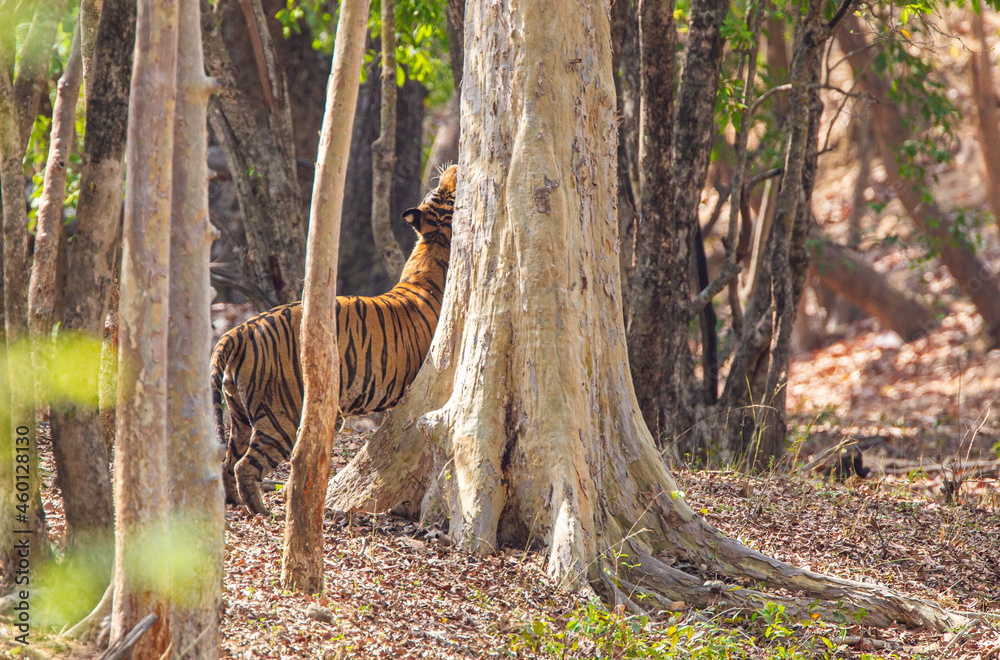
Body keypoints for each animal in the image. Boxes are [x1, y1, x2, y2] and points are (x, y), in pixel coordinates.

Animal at [211, 165, 456, 515]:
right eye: (444, 191)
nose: (453, 167)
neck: (432, 245)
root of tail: (238, 330)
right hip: (280, 418)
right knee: (244, 465)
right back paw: (261, 511)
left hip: (239, 414)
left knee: (228, 460)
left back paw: (232, 503)